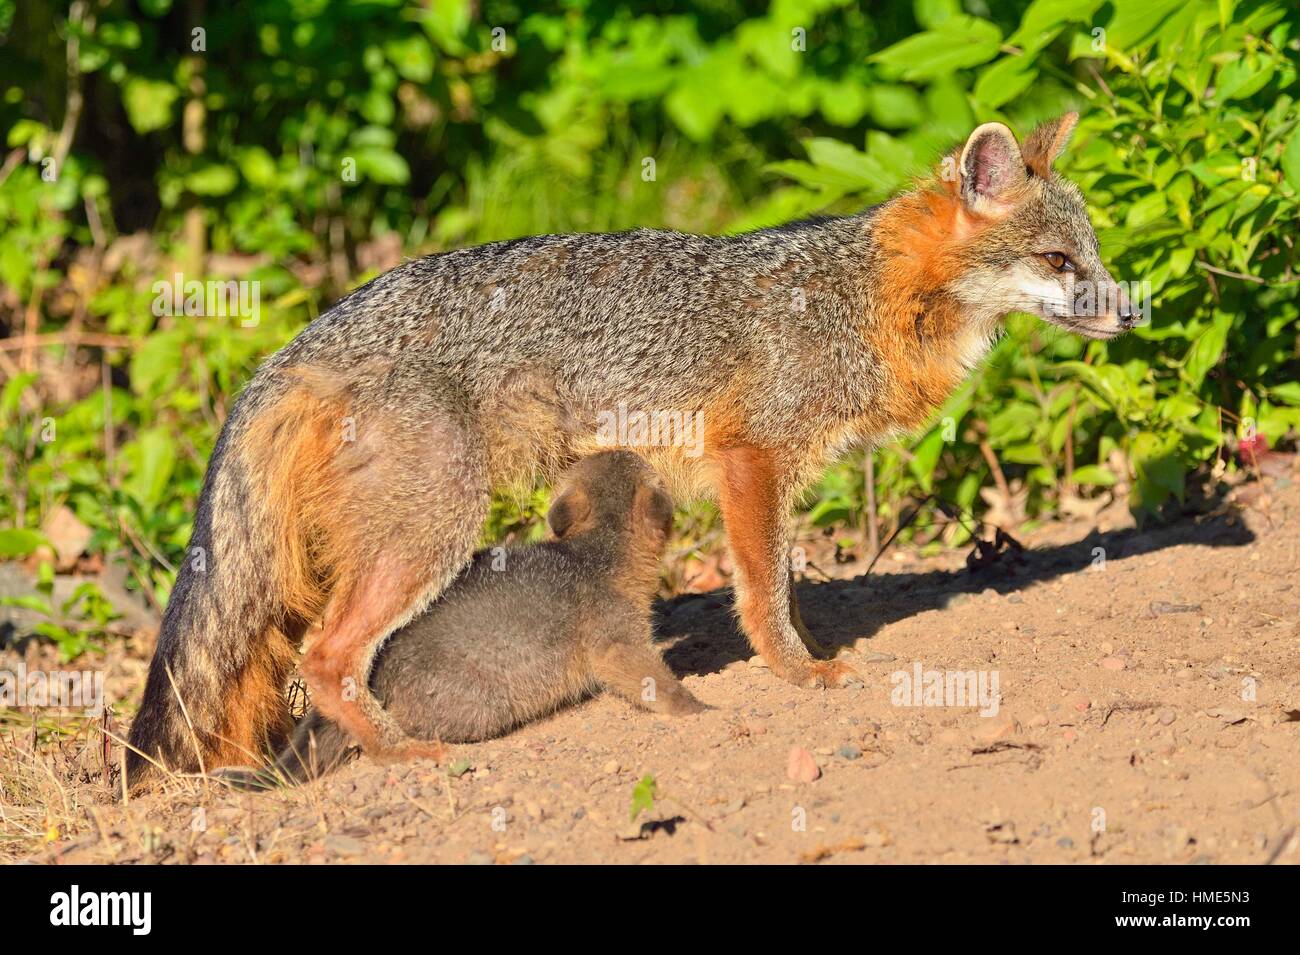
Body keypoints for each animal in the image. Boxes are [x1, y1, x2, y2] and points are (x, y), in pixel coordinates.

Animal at [216, 450, 703, 788]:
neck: (596, 553)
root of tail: (376, 668)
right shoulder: (617, 642)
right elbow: (656, 684)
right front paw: (697, 709)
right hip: (484, 704)